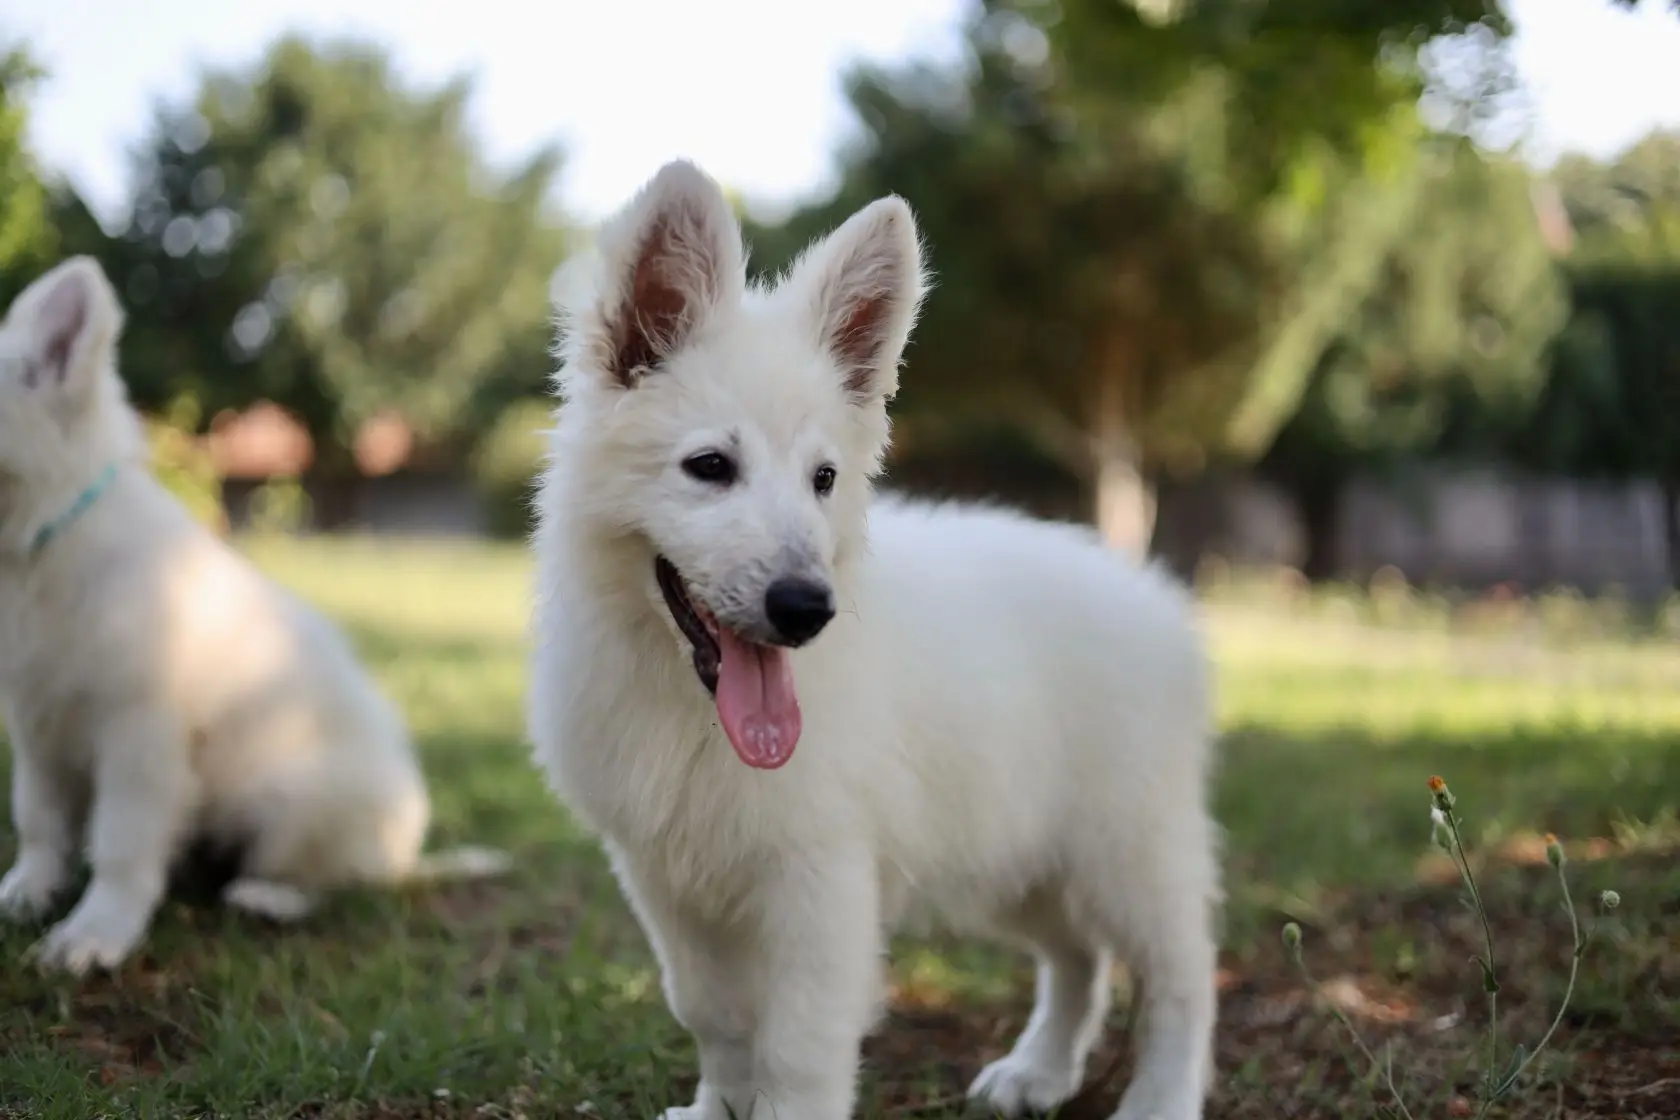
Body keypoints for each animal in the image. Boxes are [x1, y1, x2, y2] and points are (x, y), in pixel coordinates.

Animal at [0, 258, 507, 973]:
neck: (41, 544)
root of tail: (406, 860)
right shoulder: (36, 725)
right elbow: (39, 820)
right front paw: (29, 890)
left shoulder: (139, 737)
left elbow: (120, 841)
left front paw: (96, 931)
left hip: (291, 800)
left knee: (335, 882)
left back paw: (268, 896)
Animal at [524, 162, 1223, 1120]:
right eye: (710, 467)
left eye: (824, 479)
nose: (805, 609)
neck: (689, 708)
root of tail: (1150, 593)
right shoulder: (666, 880)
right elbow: (712, 1014)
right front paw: (717, 1108)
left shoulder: (820, 882)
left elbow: (797, 1046)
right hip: (1016, 849)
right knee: (1076, 958)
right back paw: (1037, 1072)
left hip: (1126, 848)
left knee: (1182, 975)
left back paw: (1160, 1096)